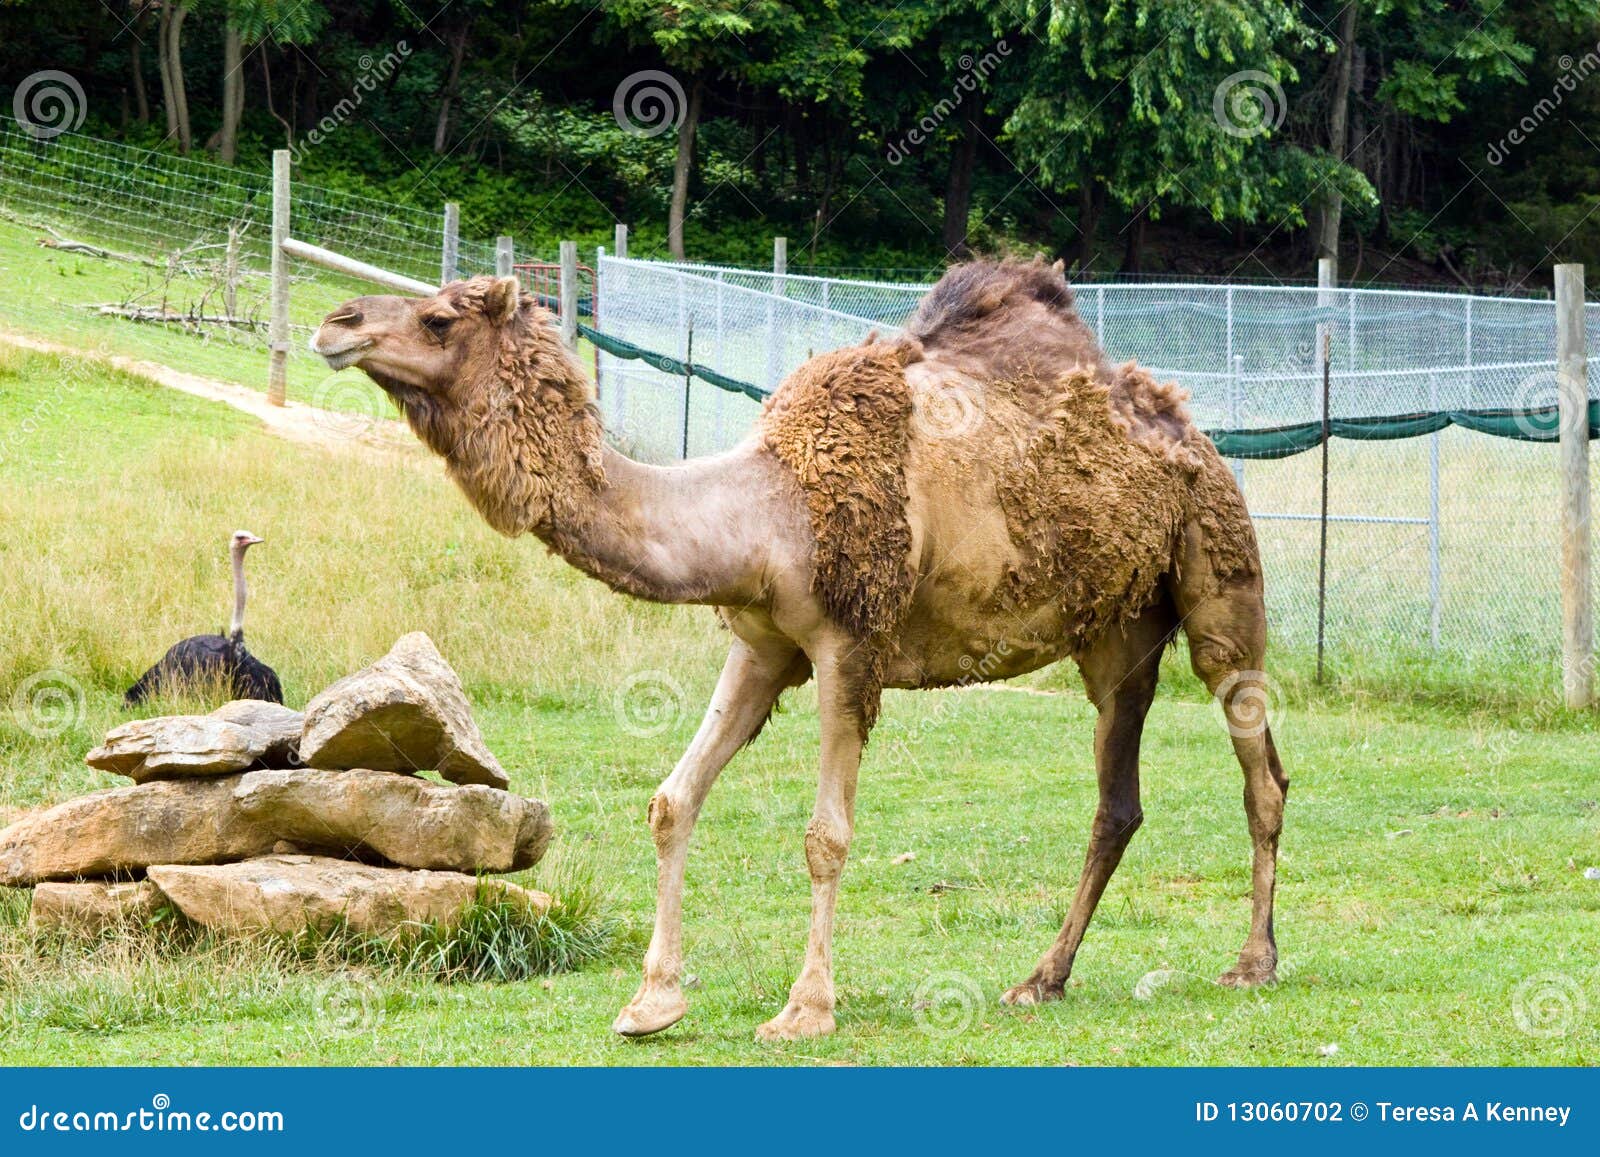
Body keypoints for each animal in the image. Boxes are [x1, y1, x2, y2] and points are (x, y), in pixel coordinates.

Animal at [311, 260, 1288, 1041]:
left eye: (441, 318)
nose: (337, 322)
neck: (767, 508)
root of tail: (1189, 429)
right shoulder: (762, 645)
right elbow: (673, 800)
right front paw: (650, 1002)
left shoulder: (850, 644)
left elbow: (827, 833)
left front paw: (803, 1009)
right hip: (1114, 635)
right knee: (1117, 799)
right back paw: (1041, 978)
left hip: (1219, 579)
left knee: (1259, 763)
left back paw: (1252, 962)